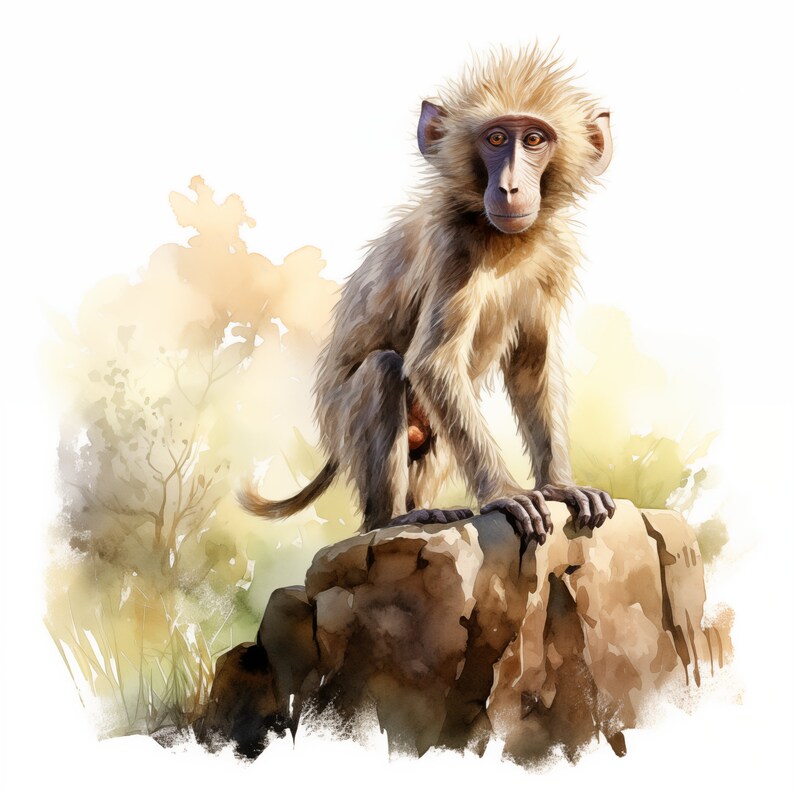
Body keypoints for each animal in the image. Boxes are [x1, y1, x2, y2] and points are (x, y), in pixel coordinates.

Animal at [240, 47, 616, 549]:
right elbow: (432, 364)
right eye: (497, 138)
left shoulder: (553, 257)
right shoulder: (453, 251)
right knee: (384, 371)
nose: (510, 187)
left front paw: (559, 486)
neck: (502, 240)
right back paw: (393, 518)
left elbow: (530, 366)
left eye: (535, 139)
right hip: (341, 421)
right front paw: (507, 493)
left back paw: (424, 509)